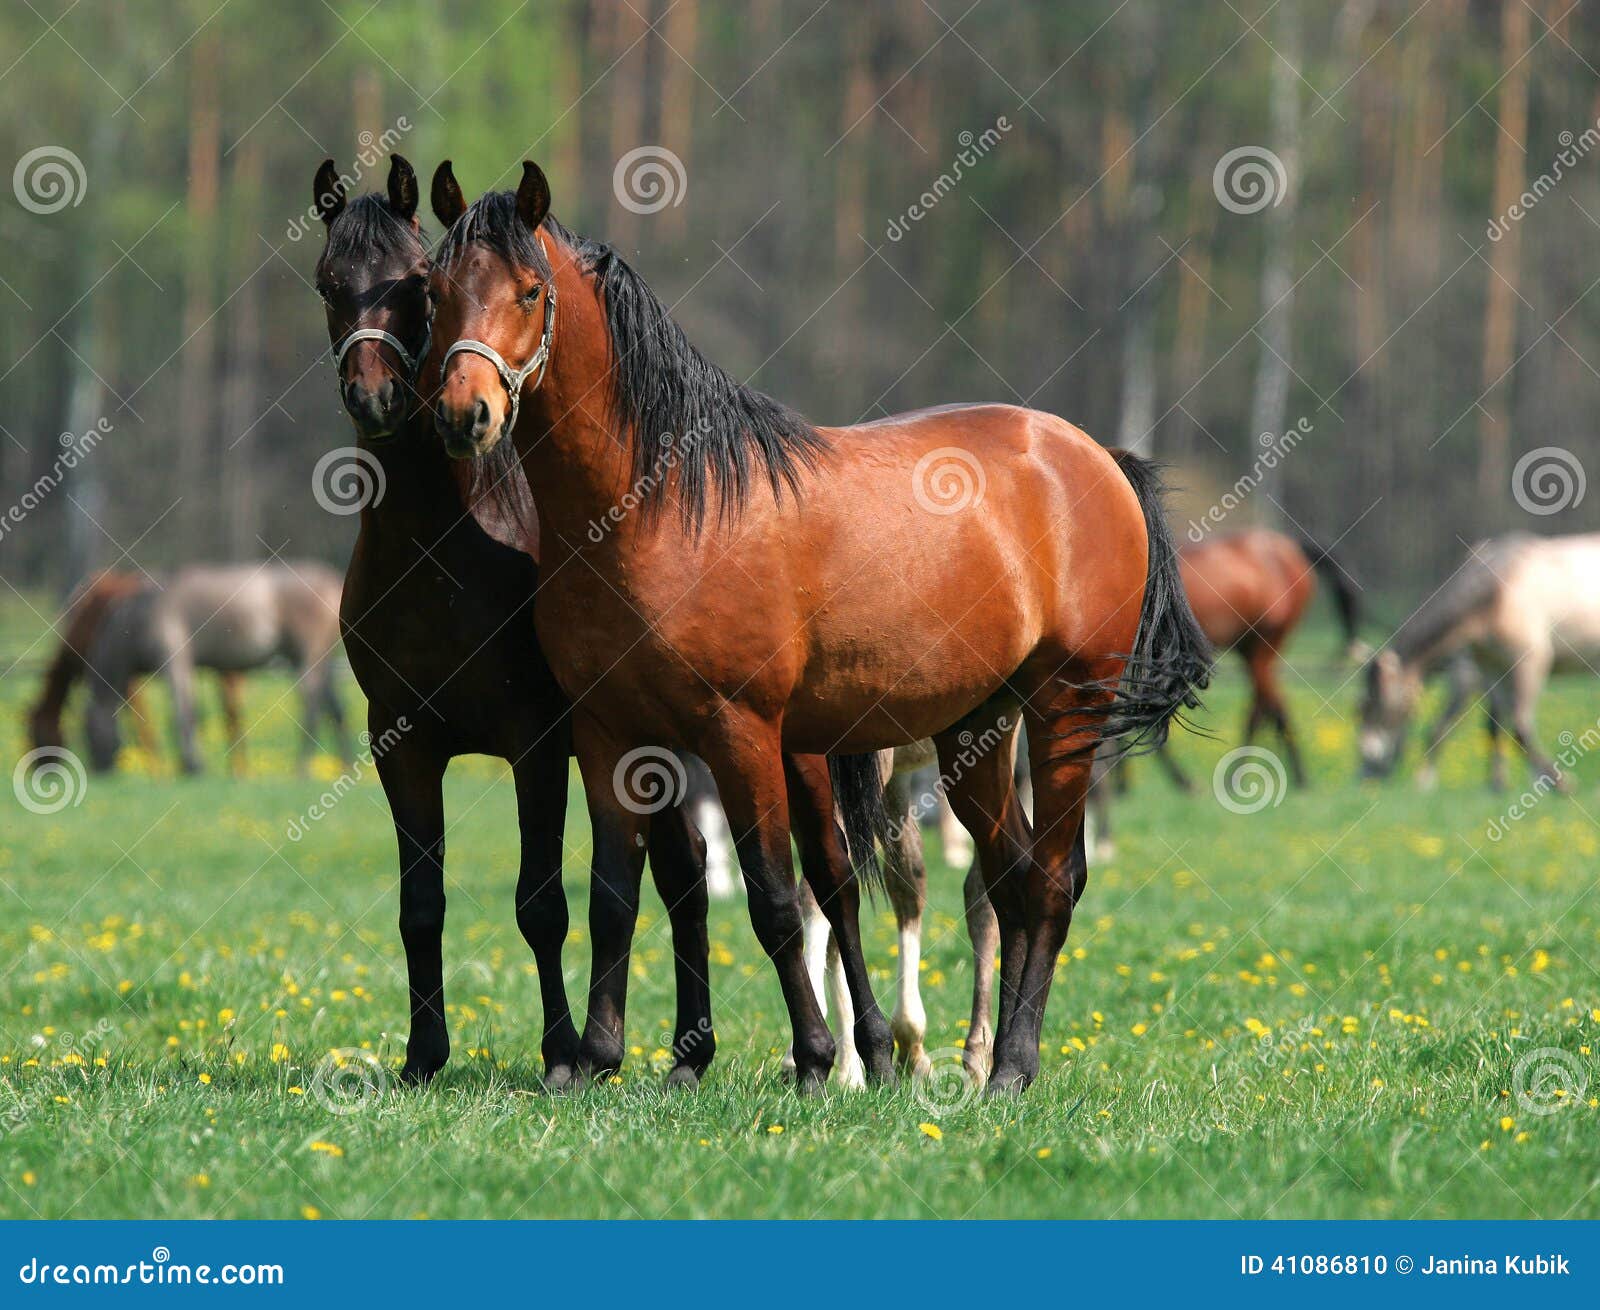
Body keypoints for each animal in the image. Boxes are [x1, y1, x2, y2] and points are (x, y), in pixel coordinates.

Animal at [82, 563, 345, 775]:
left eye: (90, 732)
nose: (98, 770)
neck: (140, 614)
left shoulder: (175, 661)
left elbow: (184, 713)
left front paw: (193, 766)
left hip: (309, 659)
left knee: (312, 706)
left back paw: (302, 768)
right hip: (318, 661)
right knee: (334, 708)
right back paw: (346, 764)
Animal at [427, 160, 1211, 1092]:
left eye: (530, 290)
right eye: (435, 289)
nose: (464, 414)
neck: (658, 506)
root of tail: (1095, 457)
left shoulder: (743, 733)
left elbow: (776, 899)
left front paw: (814, 1060)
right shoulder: (610, 732)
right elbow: (615, 896)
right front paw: (591, 1061)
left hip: (1066, 709)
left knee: (1053, 881)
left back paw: (1013, 1067)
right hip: (978, 729)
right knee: (1010, 880)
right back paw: (987, 1066)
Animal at [1359, 532, 1600, 790]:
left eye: (1376, 704)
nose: (1366, 770)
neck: (1496, 591)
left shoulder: (1525, 662)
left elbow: (1519, 726)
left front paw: (1559, 783)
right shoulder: (1491, 669)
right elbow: (1495, 725)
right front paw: (1499, 784)